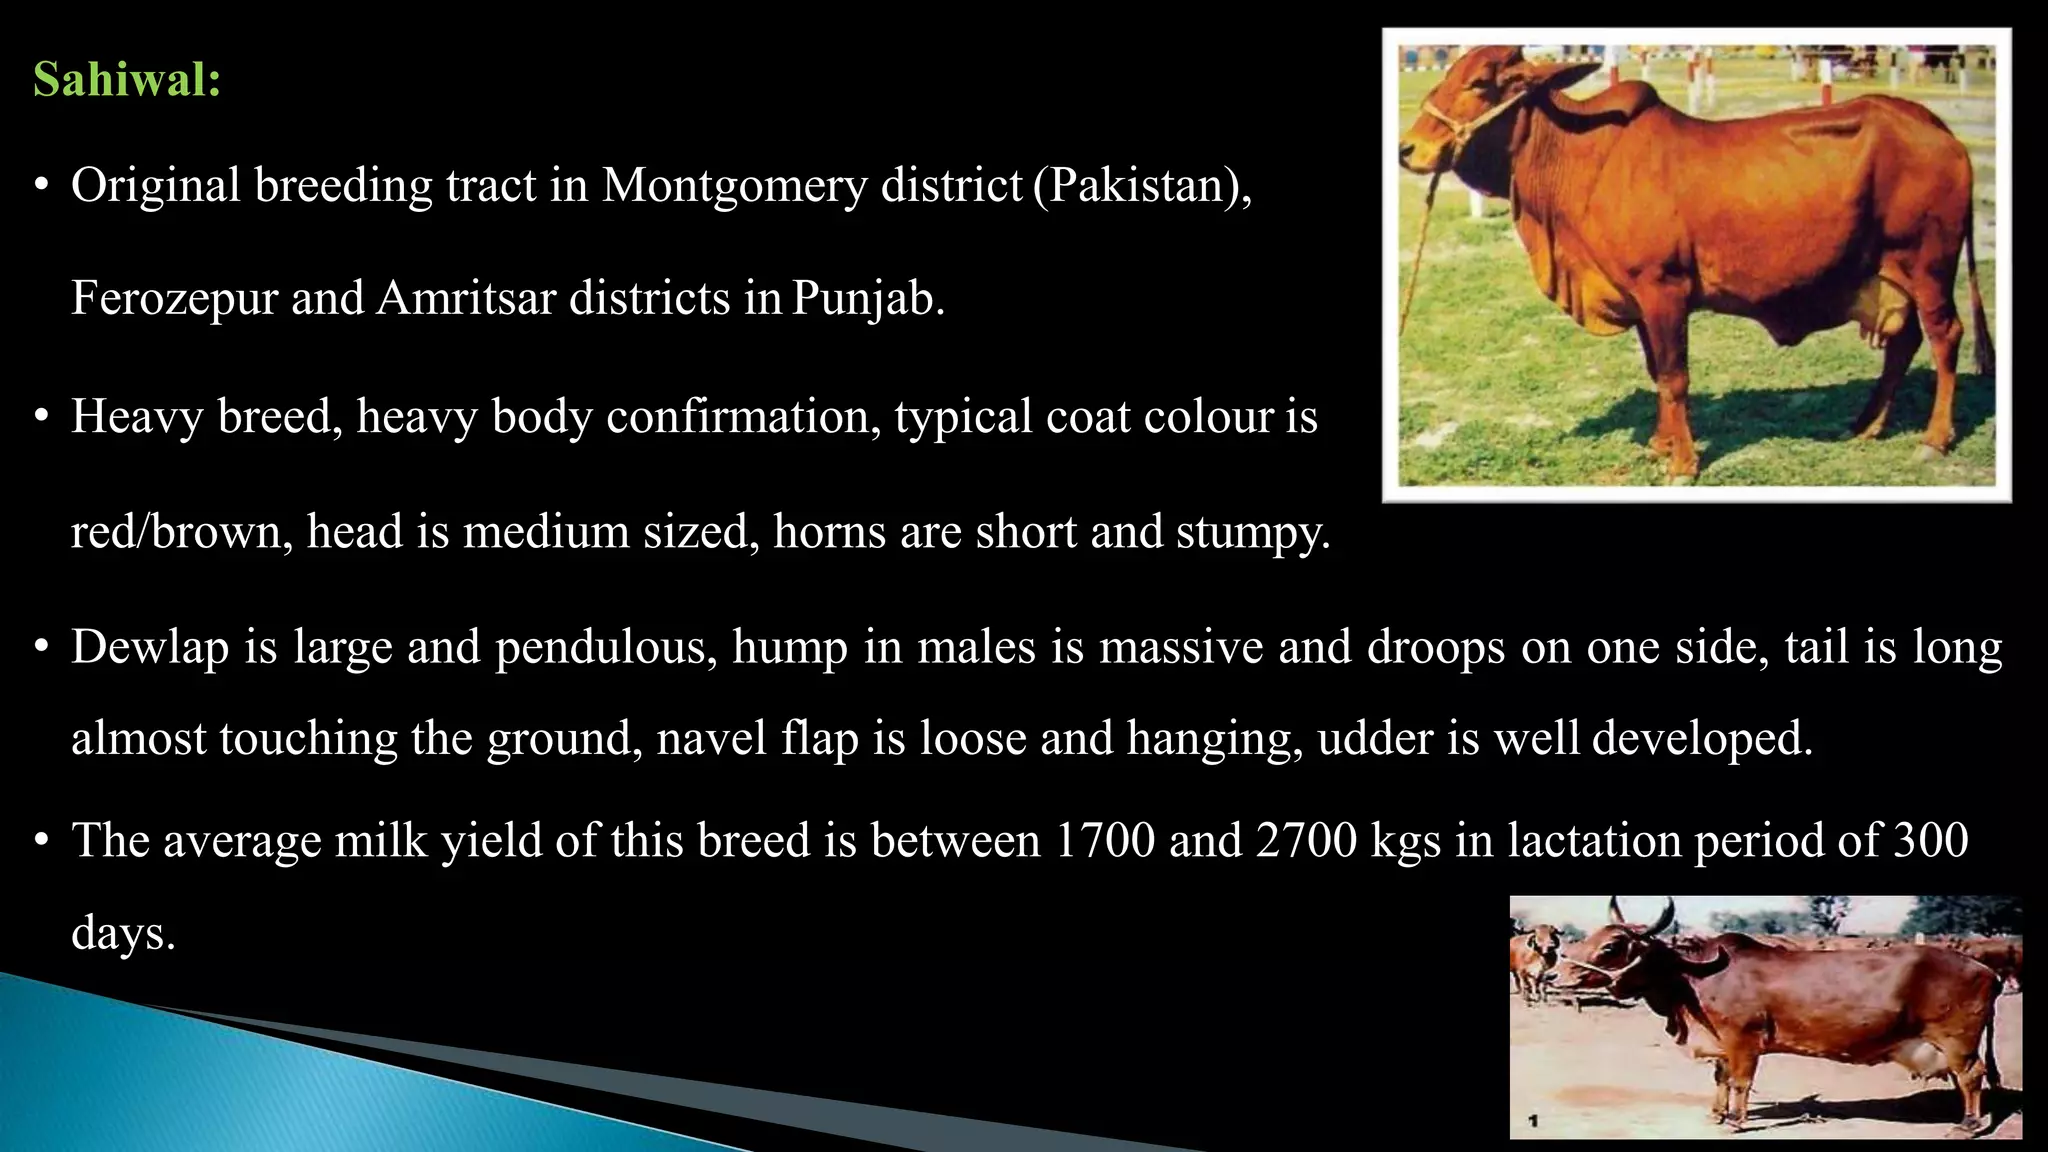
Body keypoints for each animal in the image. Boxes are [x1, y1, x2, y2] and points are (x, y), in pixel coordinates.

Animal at [1398, 47, 1993, 482]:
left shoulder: (1665, 291)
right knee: (1903, 342)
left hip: (1928, 266)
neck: (1582, 160)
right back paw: (1868, 423)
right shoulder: (1636, 297)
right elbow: (1656, 374)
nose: (1407, 149)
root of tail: (1936, 127)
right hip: (1893, 273)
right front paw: (1661, 446)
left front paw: (1683, 463)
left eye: (1480, 83)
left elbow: (1675, 376)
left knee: (1945, 337)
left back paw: (1934, 439)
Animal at [1551, 897, 2003, 1135]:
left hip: (1958, 1040)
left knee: (1971, 1076)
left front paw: (1735, 1120)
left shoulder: (1743, 1040)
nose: (1554, 973)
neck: (1690, 981)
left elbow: (1740, 1082)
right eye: (1588, 937)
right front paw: (1716, 1113)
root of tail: (1987, 969)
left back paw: (1968, 1123)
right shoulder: (1723, 1044)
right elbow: (1720, 1078)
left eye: (1611, 946)